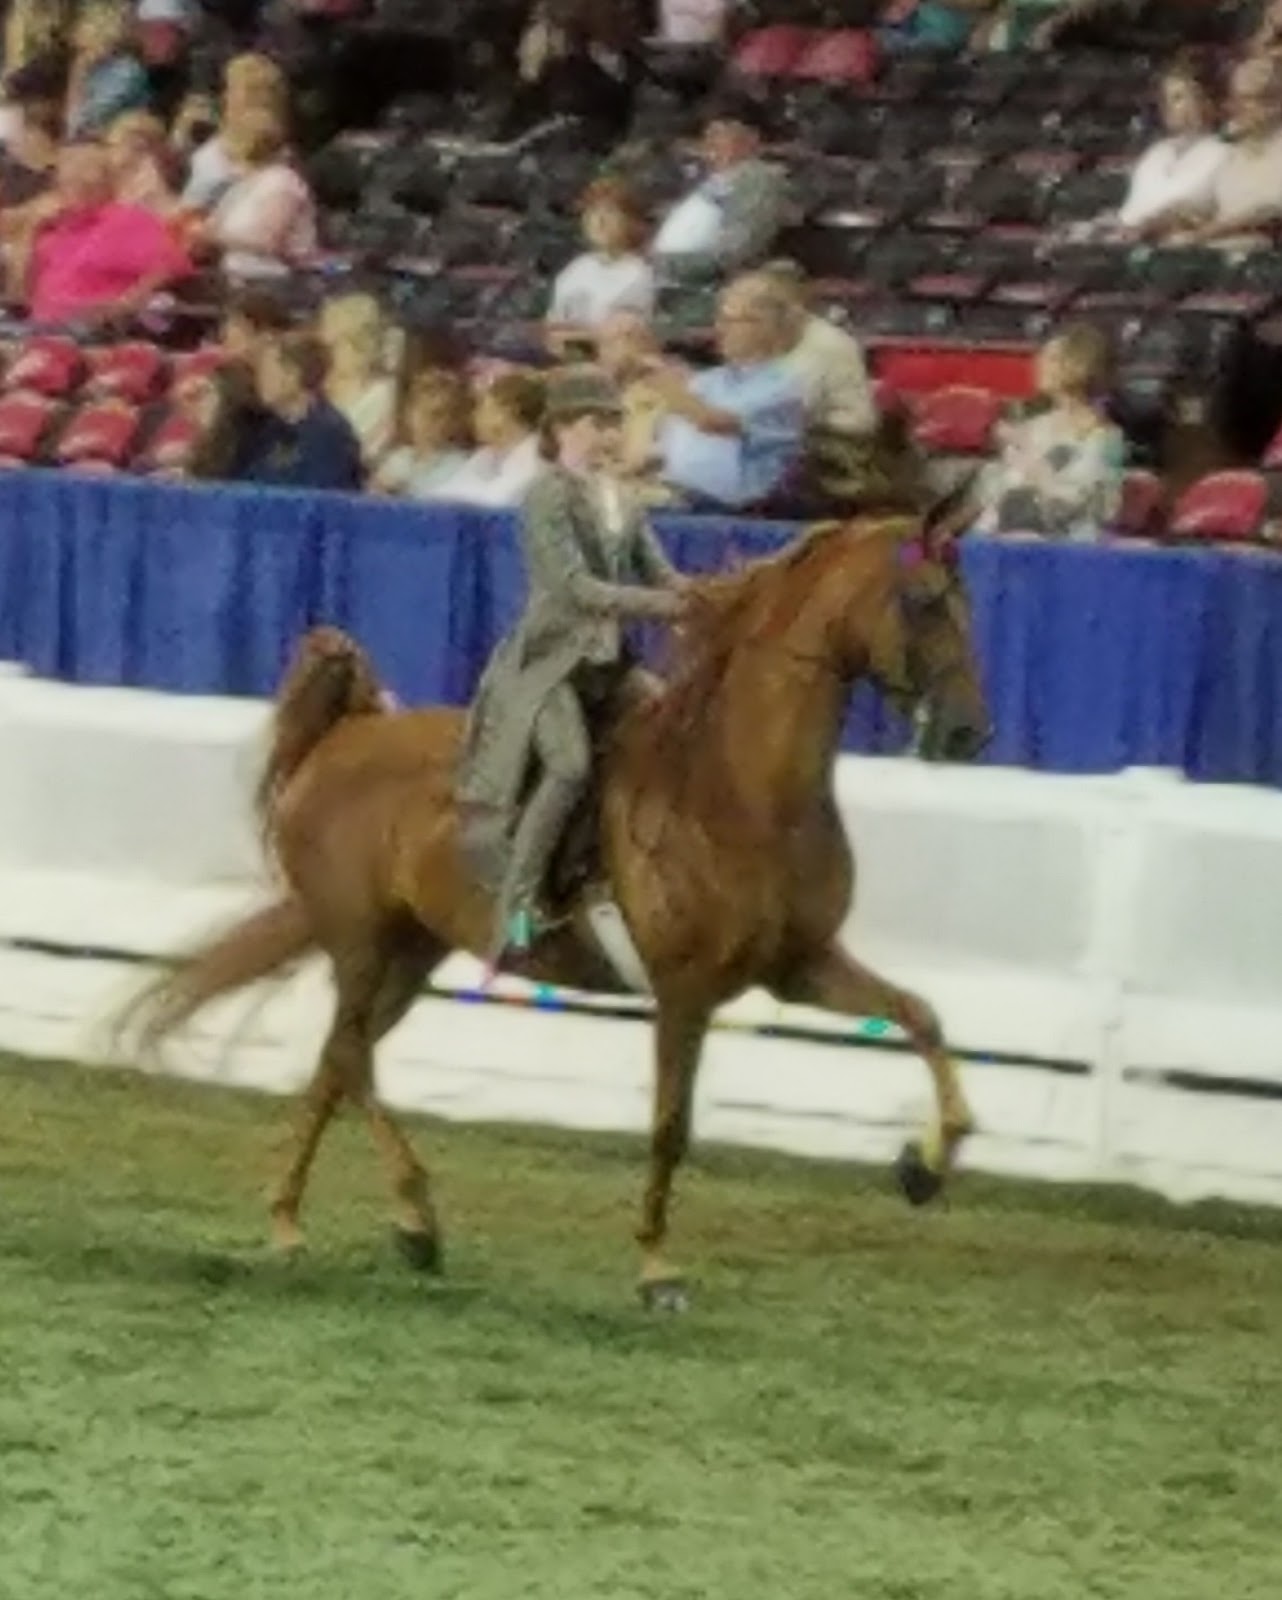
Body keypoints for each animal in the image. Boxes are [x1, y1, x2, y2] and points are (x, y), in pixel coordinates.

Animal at [117, 505, 991, 1309]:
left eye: (965, 601)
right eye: (923, 601)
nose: (967, 733)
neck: (743, 791)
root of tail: (347, 734)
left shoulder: (799, 965)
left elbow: (921, 1017)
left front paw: (925, 1165)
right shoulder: (684, 990)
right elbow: (671, 1126)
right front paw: (657, 1270)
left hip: (411, 952)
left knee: (337, 1063)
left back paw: (303, 1223)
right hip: (362, 945)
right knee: (350, 1056)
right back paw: (410, 1216)